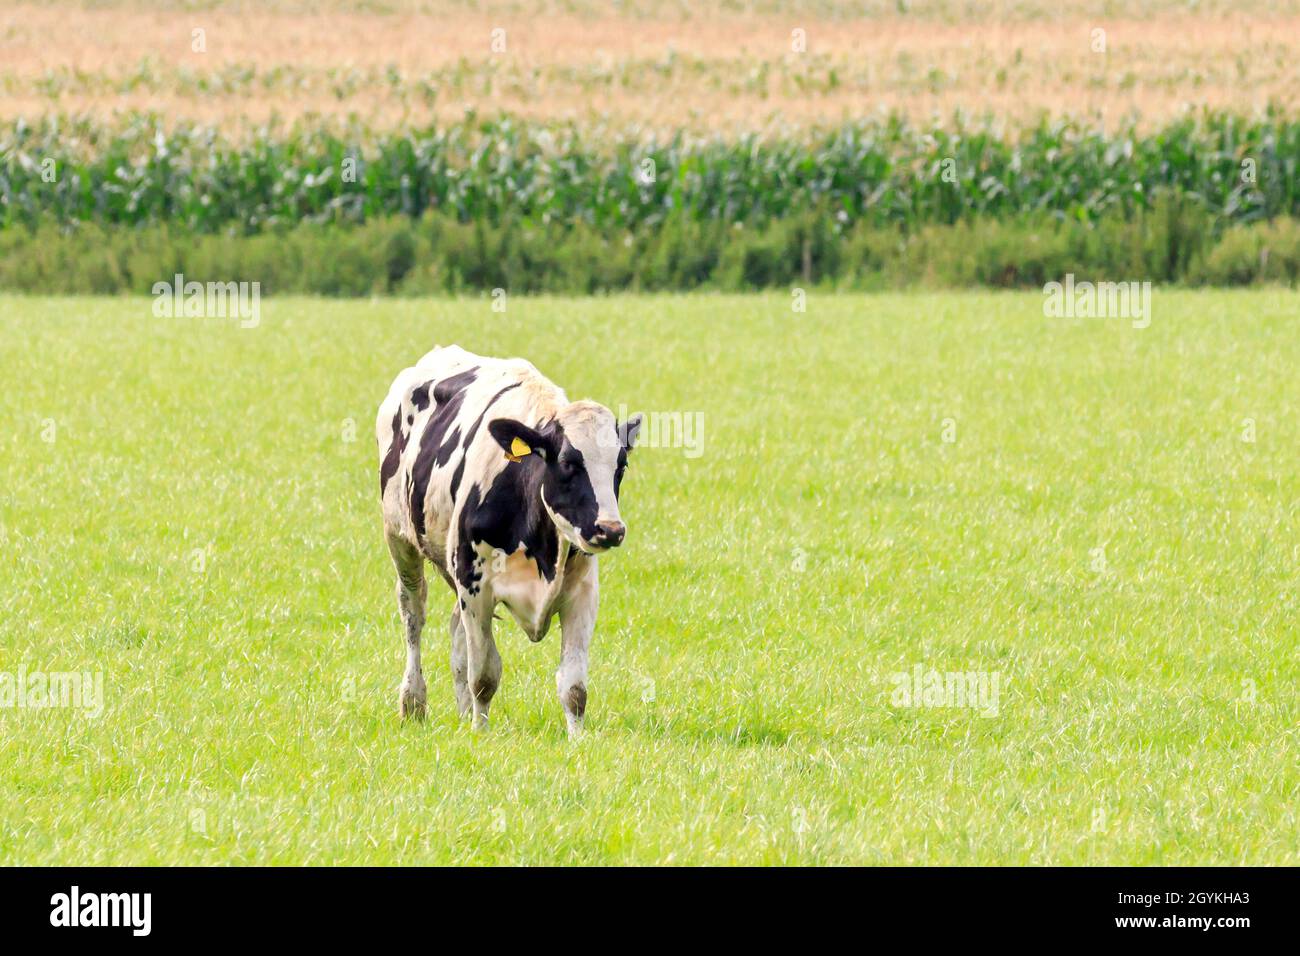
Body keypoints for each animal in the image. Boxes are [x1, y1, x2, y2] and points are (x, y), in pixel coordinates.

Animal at [376, 345, 641, 736]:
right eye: (567, 462)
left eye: (620, 466)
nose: (610, 529)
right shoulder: (475, 586)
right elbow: (484, 675)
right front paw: (481, 734)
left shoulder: (582, 593)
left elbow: (574, 687)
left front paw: (578, 740)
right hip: (400, 538)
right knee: (413, 614)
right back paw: (413, 702)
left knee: (455, 632)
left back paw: (461, 713)